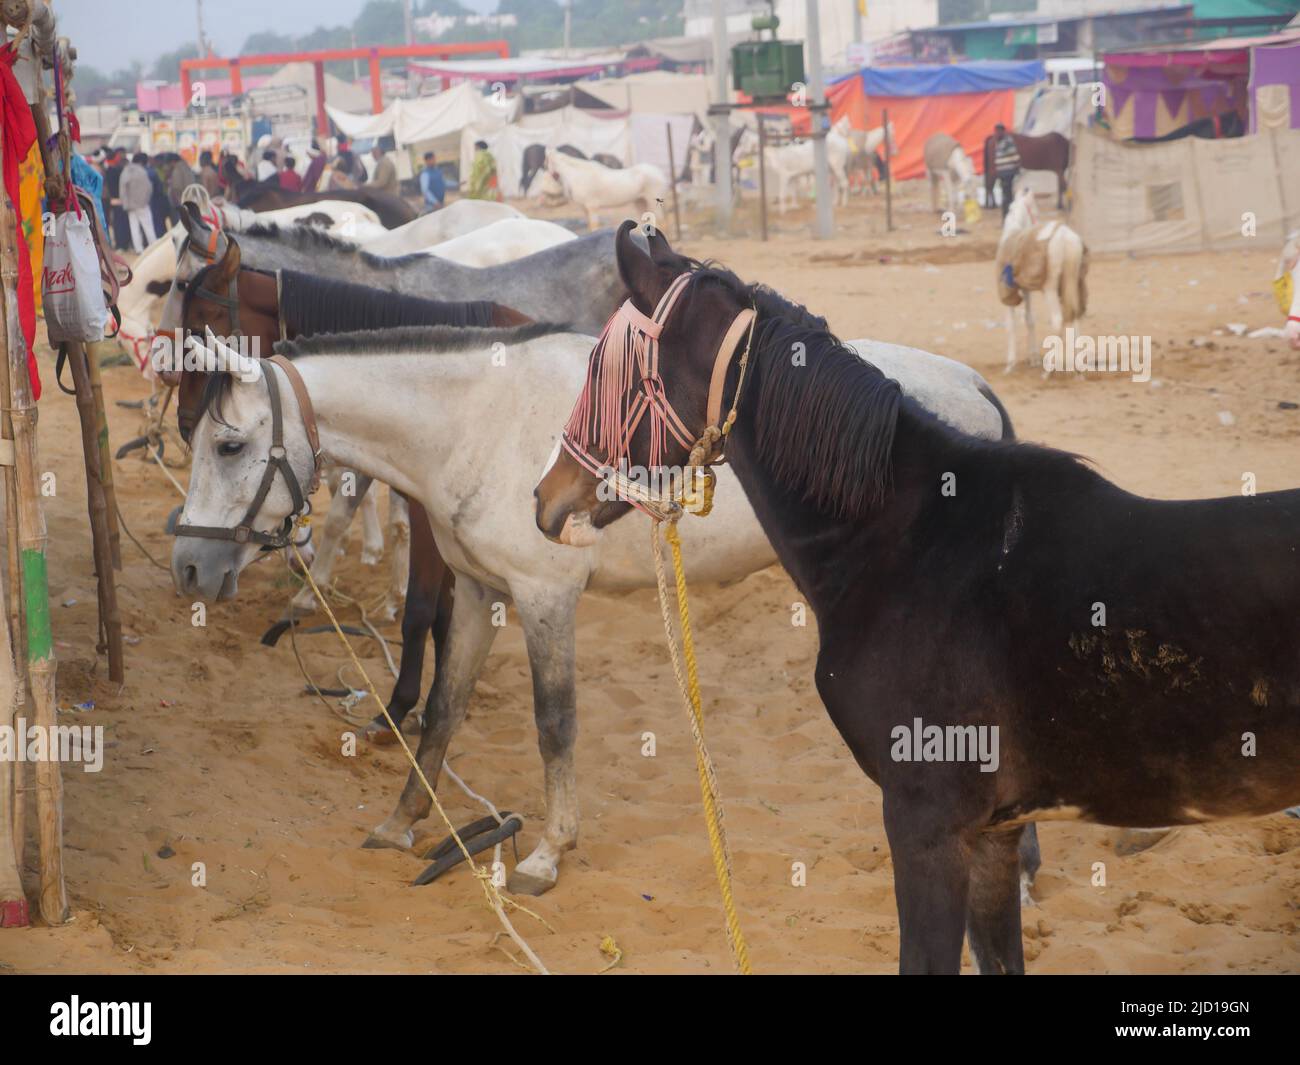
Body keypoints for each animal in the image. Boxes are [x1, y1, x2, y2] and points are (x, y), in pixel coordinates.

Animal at [174, 293, 1026, 898]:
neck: (478, 422)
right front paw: (403, 820)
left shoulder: (545, 597)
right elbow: (443, 712)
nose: (187, 566)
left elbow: (556, 724)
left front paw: (548, 853)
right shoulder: (480, 592)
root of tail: (975, 387)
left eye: (229, 444)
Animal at [997, 185, 1088, 373]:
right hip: (1073, 282)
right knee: (1075, 315)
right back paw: (1076, 366)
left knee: (1058, 320)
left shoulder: (1008, 291)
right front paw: (1033, 359)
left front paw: (1010, 364)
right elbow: (1029, 319)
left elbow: (1011, 325)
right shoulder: (1025, 288)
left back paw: (1050, 370)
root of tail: (1064, 235)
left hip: (1050, 288)